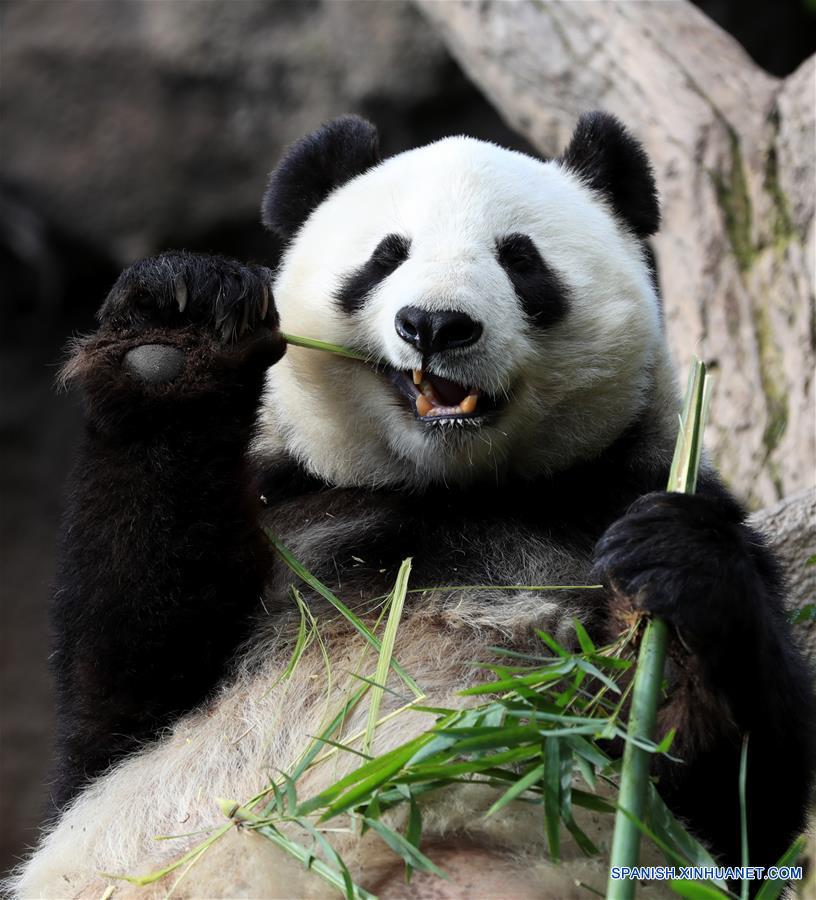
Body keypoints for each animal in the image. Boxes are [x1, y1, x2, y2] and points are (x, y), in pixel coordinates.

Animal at [10, 114, 814, 899]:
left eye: (520, 259)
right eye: (386, 257)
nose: (435, 324)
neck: (451, 489)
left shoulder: (619, 492)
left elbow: (731, 797)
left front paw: (673, 565)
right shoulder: (290, 505)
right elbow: (120, 700)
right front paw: (177, 333)